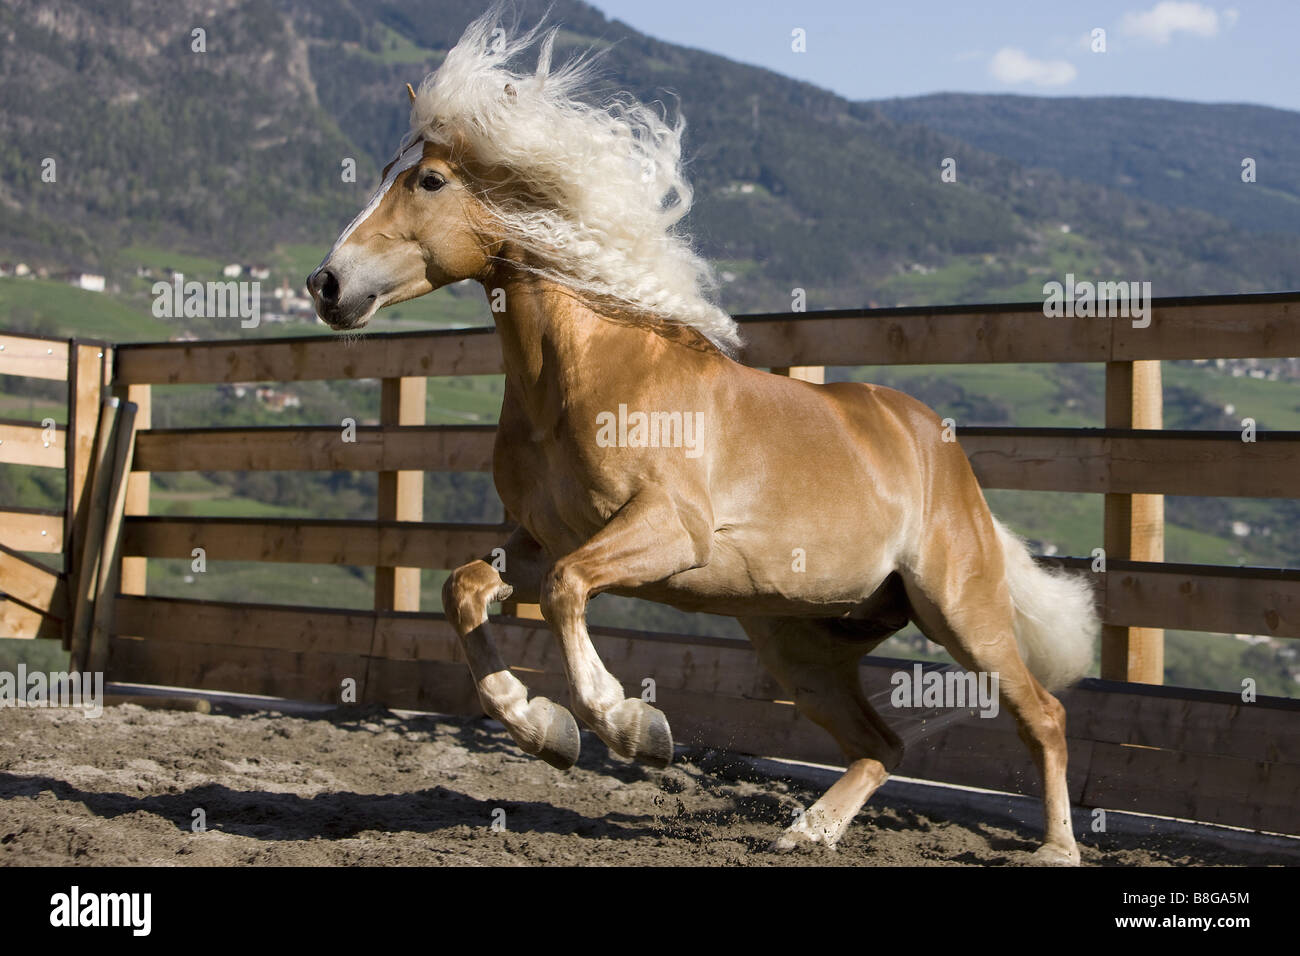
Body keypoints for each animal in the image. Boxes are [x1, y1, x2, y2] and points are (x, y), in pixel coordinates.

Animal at [307, 7, 1099, 864]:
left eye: (428, 180)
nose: (326, 284)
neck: (584, 378)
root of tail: (939, 446)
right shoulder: (540, 537)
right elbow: (467, 588)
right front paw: (547, 732)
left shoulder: (665, 530)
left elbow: (566, 591)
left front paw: (632, 727)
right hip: (799, 644)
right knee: (881, 745)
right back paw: (808, 830)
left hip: (960, 612)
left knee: (1044, 714)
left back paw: (1056, 848)